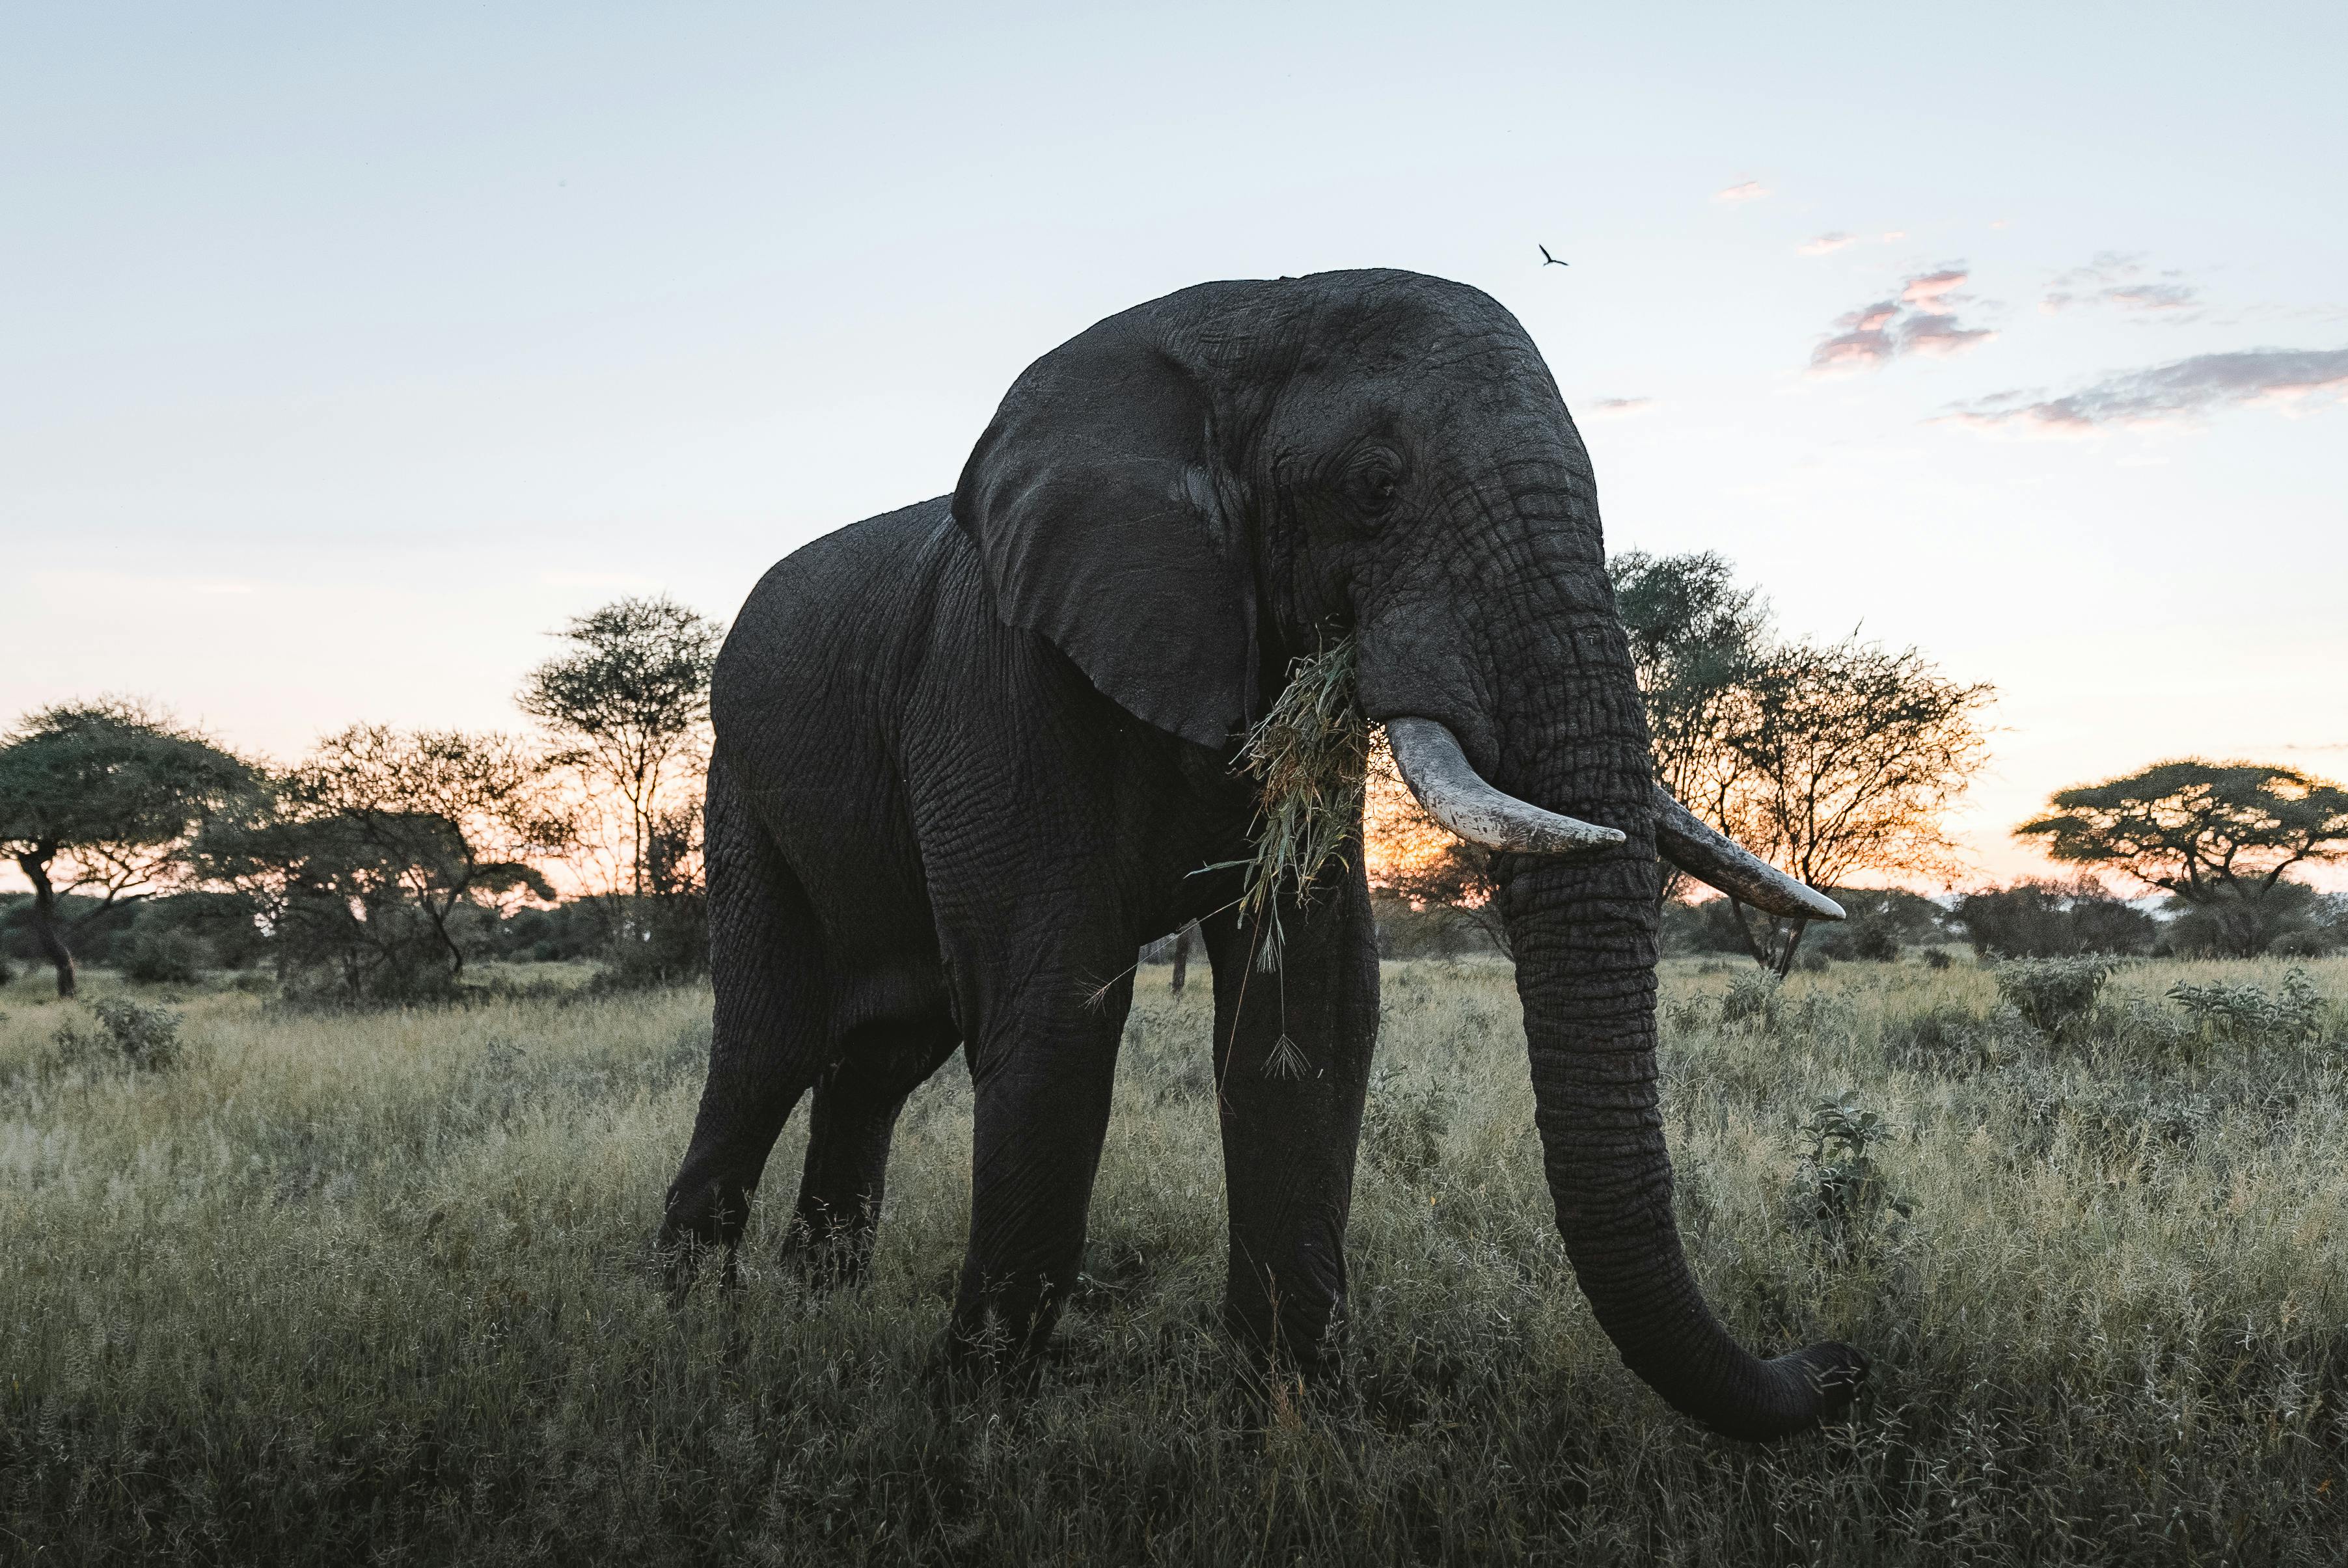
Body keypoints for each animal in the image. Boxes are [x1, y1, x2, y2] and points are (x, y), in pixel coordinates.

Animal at [658, 267, 1866, 1441]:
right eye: (1376, 484)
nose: (1836, 1362)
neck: (1250, 318)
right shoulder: (994, 679)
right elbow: (1053, 1011)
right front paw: (976, 1423)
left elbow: (1313, 1008)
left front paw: (1293, 1423)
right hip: (740, 785)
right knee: (768, 1042)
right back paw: (692, 1325)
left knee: (876, 1059)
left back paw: (818, 1308)